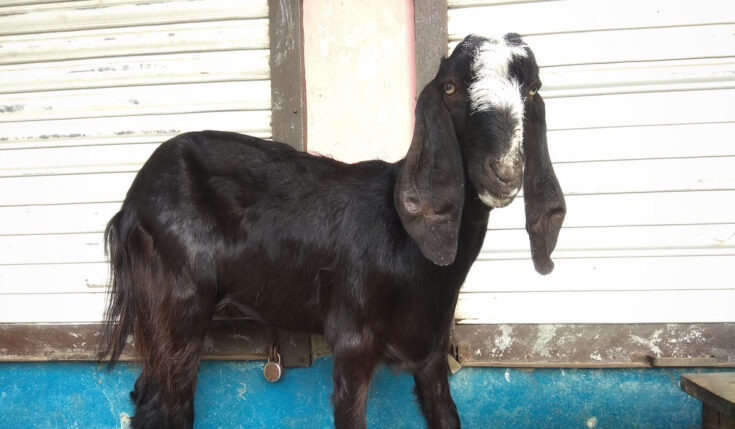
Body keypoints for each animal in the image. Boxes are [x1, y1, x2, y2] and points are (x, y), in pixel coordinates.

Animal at [99, 33, 565, 429]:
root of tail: (131, 203)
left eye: (533, 89)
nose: (504, 172)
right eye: (450, 87)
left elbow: (447, 415)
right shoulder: (351, 341)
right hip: (176, 298)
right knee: (167, 405)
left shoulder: (432, 349)